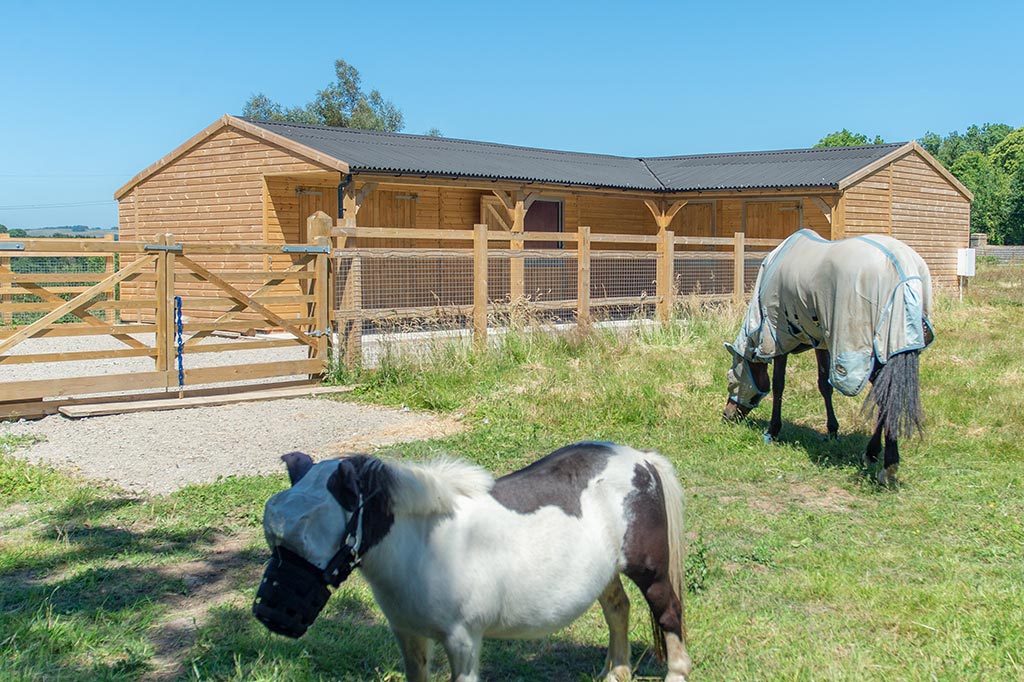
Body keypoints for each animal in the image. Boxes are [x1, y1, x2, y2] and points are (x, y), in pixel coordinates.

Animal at [253, 441, 693, 682]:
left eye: (307, 540)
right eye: (274, 542)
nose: (270, 614)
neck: (424, 546)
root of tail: (641, 459)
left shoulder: (463, 640)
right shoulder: (408, 635)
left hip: (650, 571)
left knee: (669, 612)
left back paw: (676, 672)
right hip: (606, 574)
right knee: (618, 609)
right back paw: (616, 671)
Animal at [722, 229, 934, 484]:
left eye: (731, 379)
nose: (727, 415)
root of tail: (902, 268)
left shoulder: (779, 338)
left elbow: (779, 385)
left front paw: (773, 430)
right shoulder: (821, 340)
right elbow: (824, 385)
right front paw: (832, 431)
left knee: (885, 398)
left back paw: (883, 462)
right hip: (893, 348)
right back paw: (876, 455)